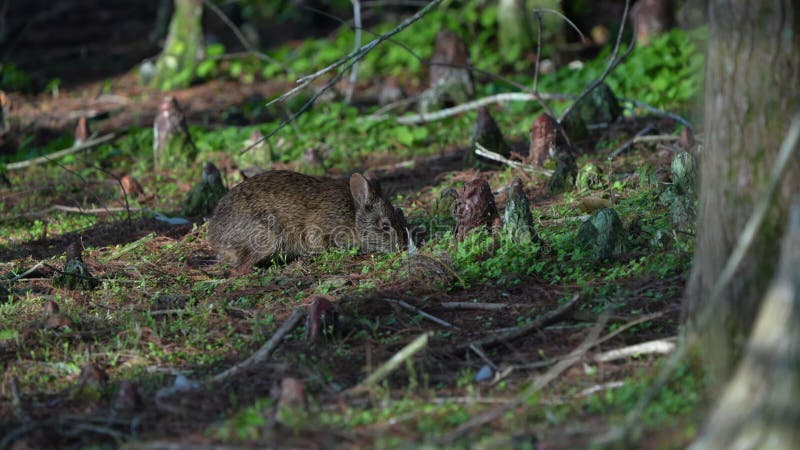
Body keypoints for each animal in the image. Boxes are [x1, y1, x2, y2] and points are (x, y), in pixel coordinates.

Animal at [208, 170, 407, 267]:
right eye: (385, 226)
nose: (402, 246)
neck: (354, 216)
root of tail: (217, 240)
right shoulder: (321, 226)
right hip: (266, 238)